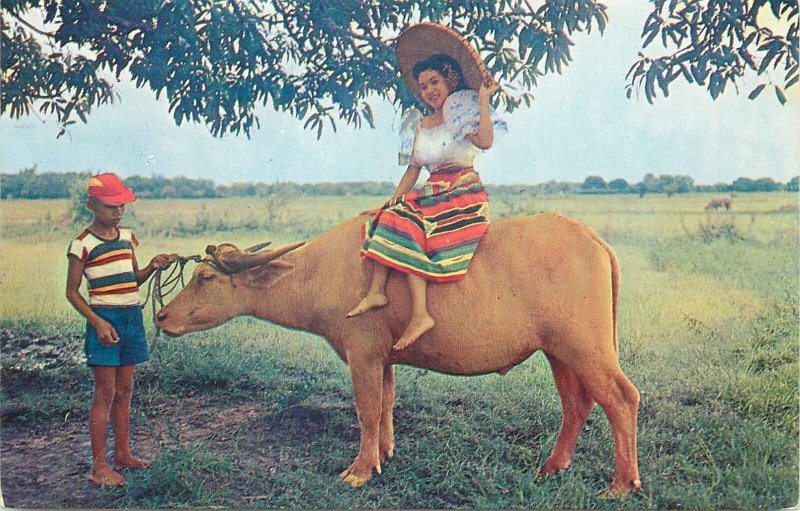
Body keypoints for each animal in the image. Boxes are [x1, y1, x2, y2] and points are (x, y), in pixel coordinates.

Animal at [156, 212, 641, 498]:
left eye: (204, 278)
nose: (161, 316)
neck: (325, 271)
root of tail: (593, 239)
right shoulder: (383, 357)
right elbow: (387, 404)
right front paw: (384, 455)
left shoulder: (362, 353)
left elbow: (367, 408)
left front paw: (359, 469)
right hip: (559, 351)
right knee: (577, 403)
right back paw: (551, 469)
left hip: (586, 347)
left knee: (622, 399)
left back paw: (621, 485)